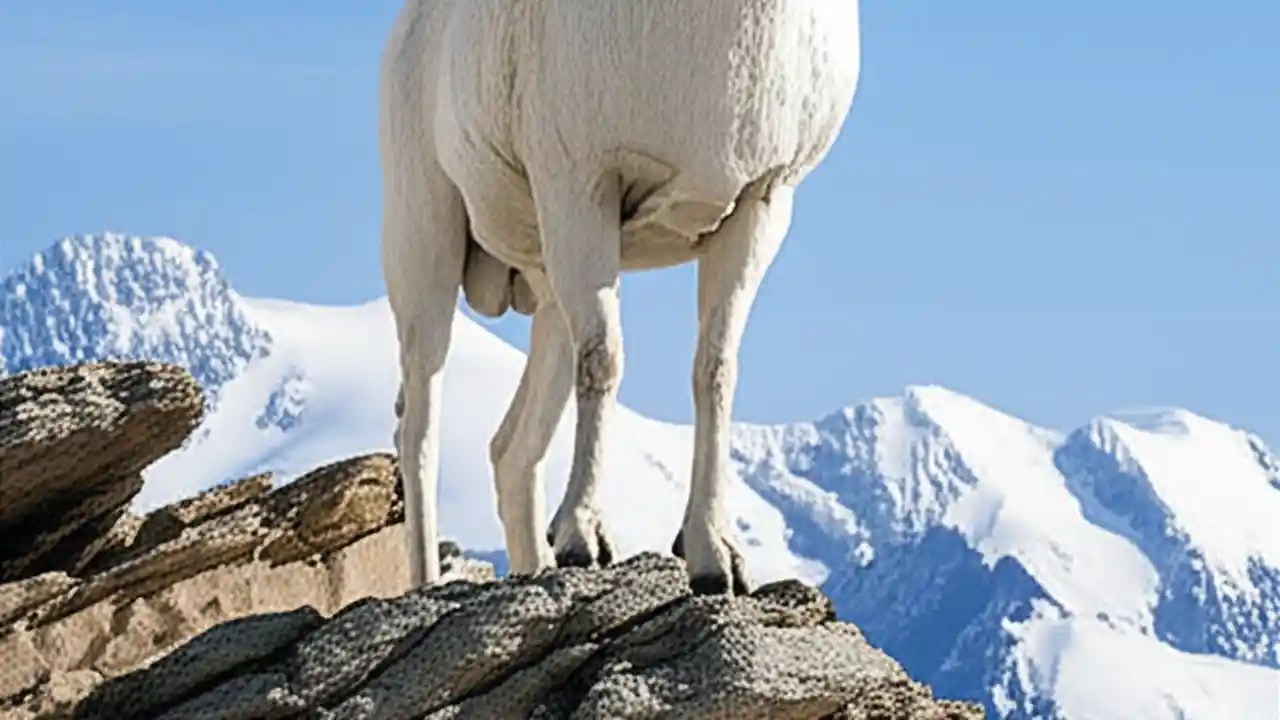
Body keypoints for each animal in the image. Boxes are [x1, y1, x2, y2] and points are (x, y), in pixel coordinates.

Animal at [380, 0, 861, 593]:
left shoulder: (758, 207)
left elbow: (715, 370)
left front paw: (713, 559)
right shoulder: (581, 189)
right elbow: (604, 361)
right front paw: (584, 541)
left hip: (550, 291)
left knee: (512, 451)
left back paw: (536, 568)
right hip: (426, 245)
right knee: (419, 426)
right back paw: (427, 583)